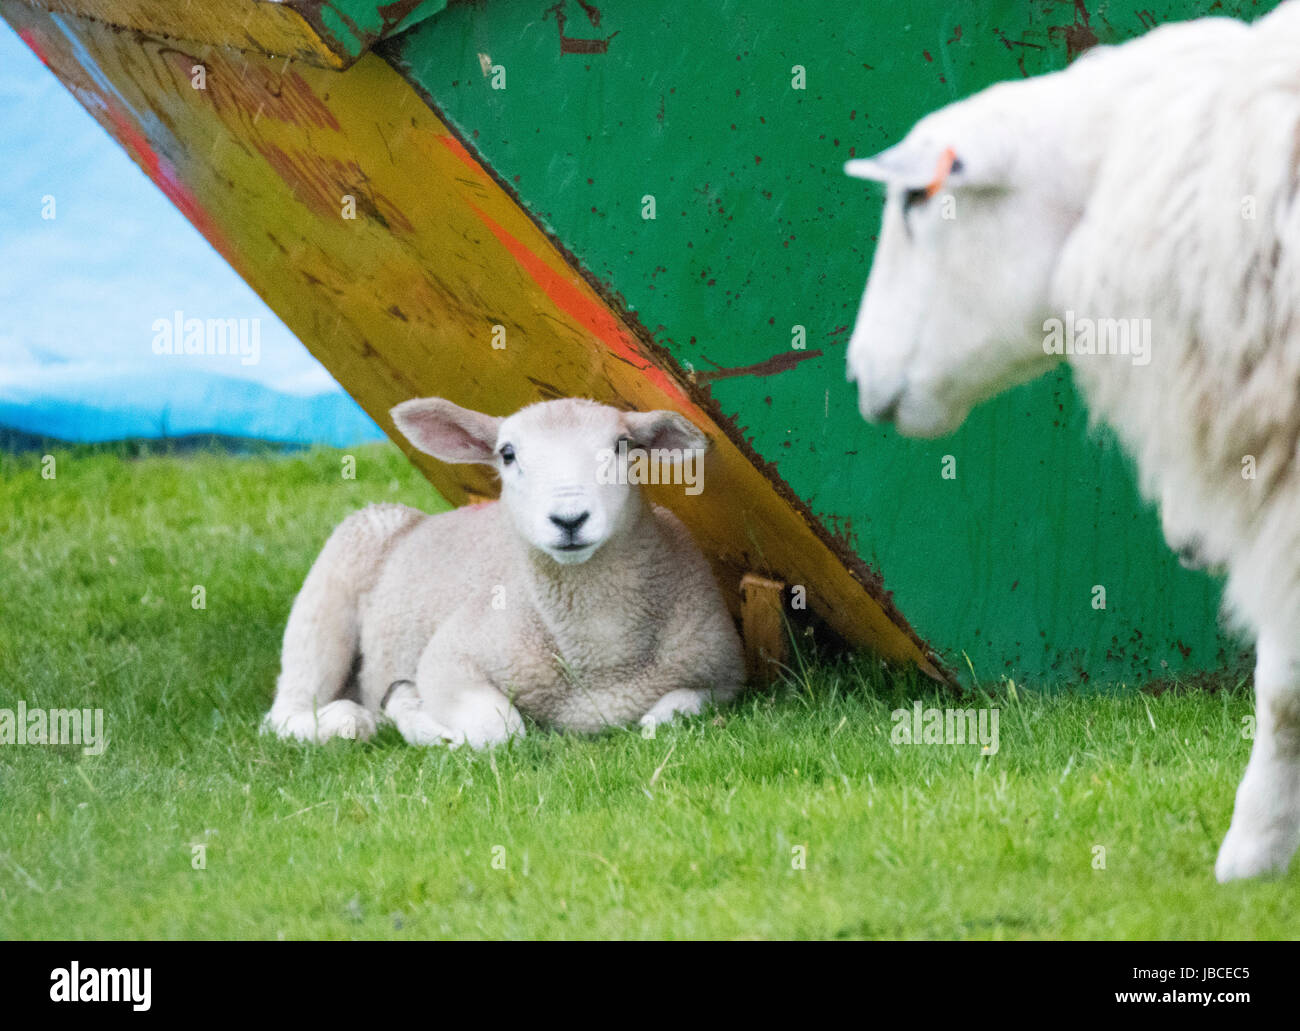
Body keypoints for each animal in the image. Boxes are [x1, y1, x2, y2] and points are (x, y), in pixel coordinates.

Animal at [263, 396, 745, 749]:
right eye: (507, 454)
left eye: (622, 446)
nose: (569, 519)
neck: (603, 660)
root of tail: (417, 520)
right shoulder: (449, 658)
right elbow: (500, 730)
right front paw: (417, 717)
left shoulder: (724, 675)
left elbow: (667, 717)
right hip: (337, 574)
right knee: (283, 712)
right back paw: (346, 721)